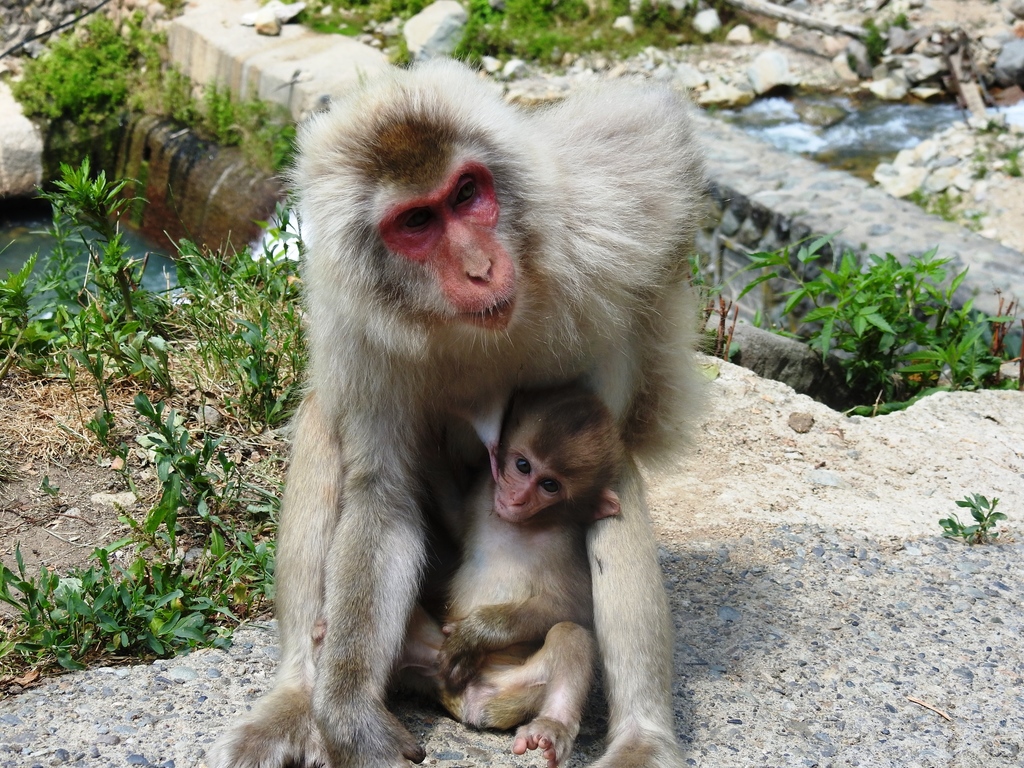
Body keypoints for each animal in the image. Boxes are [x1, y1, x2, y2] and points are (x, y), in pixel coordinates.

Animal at [207, 58, 705, 768]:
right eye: (417, 222)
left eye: (467, 193)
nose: (479, 268)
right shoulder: (356, 331)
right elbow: (383, 495)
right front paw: (348, 714)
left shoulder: (592, 214)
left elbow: (661, 136)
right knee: (326, 426)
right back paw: (301, 694)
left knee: (615, 492)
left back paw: (639, 736)